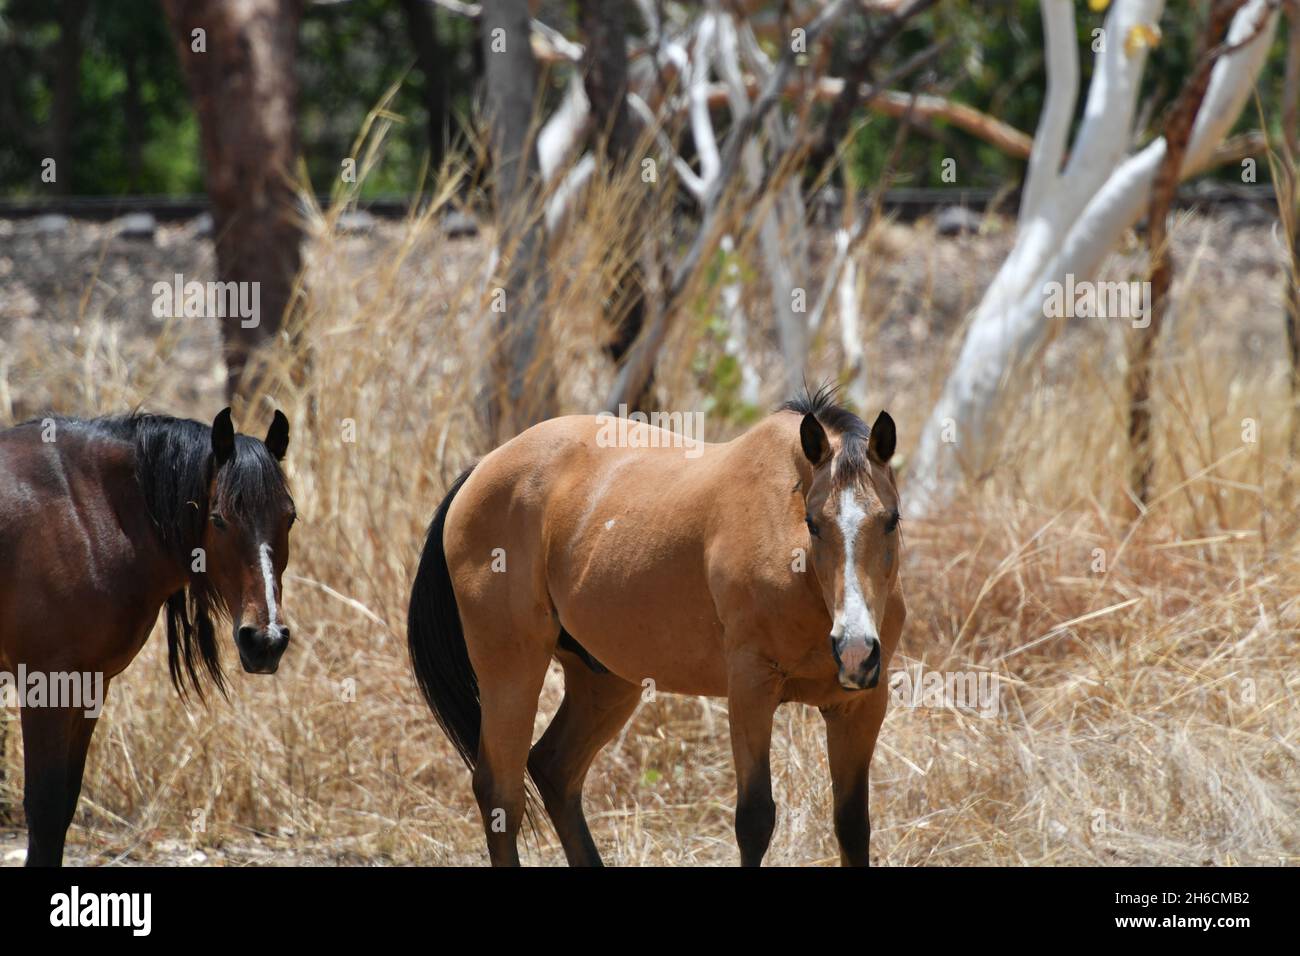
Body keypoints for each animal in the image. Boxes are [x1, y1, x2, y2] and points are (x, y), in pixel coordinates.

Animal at [0, 408, 296, 866]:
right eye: (219, 519)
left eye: (290, 517)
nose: (265, 640)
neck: (83, 514)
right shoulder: (44, 684)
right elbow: (46, 812)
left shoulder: (89, 685)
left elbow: (64, 806)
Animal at [408, 387, 905, 866]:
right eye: (813, 523)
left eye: (891, 519)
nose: (855, 650)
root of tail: (481, 468)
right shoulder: (750, 690)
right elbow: (755, 821)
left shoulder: (861, 705)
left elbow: (852, 826)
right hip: (512, 672)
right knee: (501, 795)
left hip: (604, 681)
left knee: (554, 769)